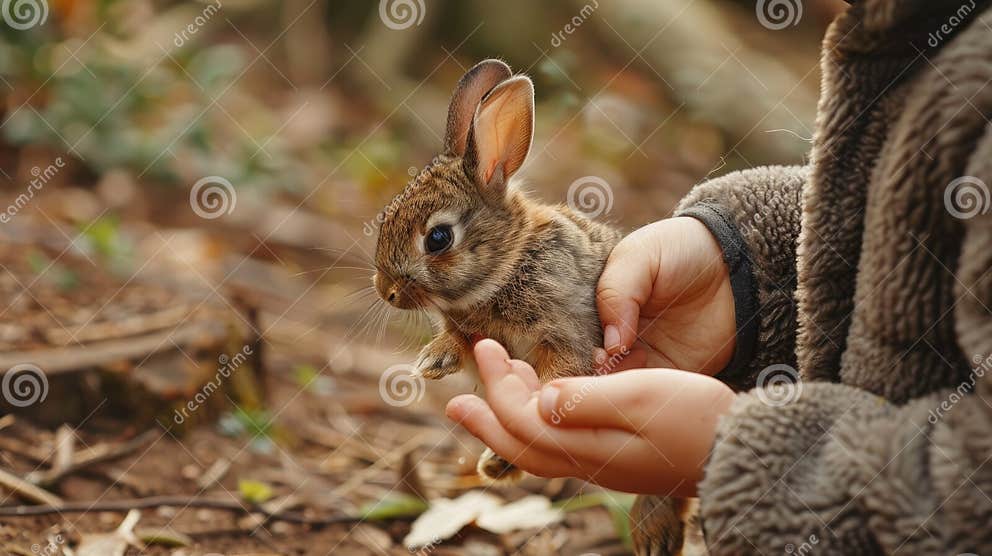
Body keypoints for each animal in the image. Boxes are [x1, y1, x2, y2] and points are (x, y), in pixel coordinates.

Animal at [371, 59, 699, 556]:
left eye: (438, 238)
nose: (384, 289)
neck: (507, 263)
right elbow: (458, 339)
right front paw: (434, 361)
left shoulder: (567, 330)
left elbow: (565, 362)